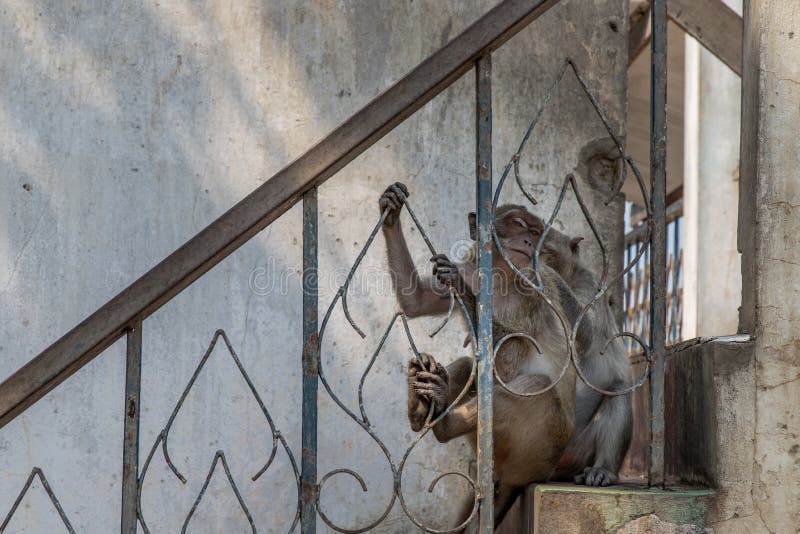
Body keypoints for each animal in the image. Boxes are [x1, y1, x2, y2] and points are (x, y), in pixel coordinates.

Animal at [379, 183, 594, 529]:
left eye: (535, 232)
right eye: (519, 224)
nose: (528, 241)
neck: (501, 273)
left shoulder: (537, 284)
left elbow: (515, 352)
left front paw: (460, 286)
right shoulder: (476, 269)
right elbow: (417, 301)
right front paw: (391, 210)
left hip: (540, 450)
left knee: (536, 386)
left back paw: (445, 423)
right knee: (469, 367)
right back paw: (424, 405)